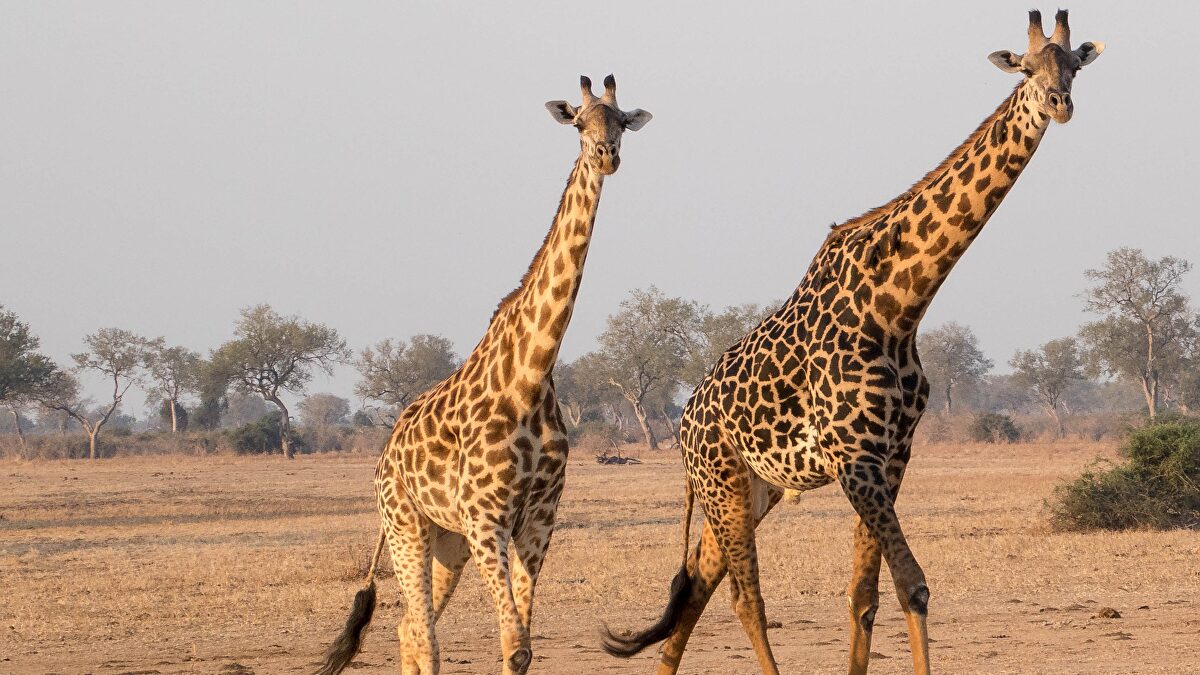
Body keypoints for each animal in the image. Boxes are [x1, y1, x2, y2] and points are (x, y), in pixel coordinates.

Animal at [317, 75, 651, 675]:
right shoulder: (486, 518)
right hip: (407, 526)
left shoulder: (538, 520)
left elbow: (518, 649)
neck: (531, 374)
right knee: (423, 632)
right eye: (578, 123)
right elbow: (514, 642)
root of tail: (383, 459)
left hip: (446, 541)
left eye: (620, 123)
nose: (606, 156)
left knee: (409, 628)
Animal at [601, 10, 1103, 675]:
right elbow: (912, 584)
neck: (897, 307)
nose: (1059, 103)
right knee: (743, 597)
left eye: (1072, 66)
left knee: (697, 585)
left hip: (753, 489)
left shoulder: (892, 455)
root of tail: (683, 426)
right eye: (1025, 68)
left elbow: (866, 595)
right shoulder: (854, 458)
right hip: (723, 483)